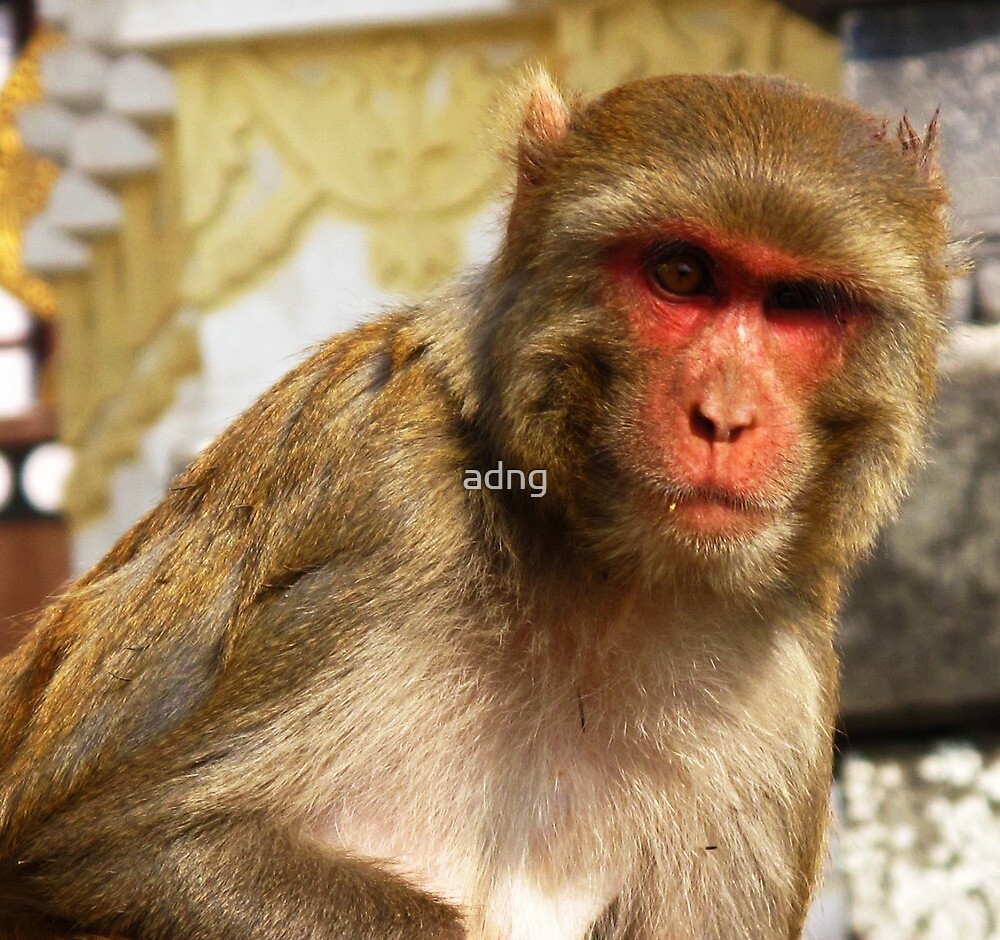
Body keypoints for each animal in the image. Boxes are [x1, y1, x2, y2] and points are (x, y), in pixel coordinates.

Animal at [0, 69, 953, 940]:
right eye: (682, 274)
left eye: (797, 303)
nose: (723, 417)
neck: (602, 583)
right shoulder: (389, 498)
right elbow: (118, 853)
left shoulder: (782, 684)